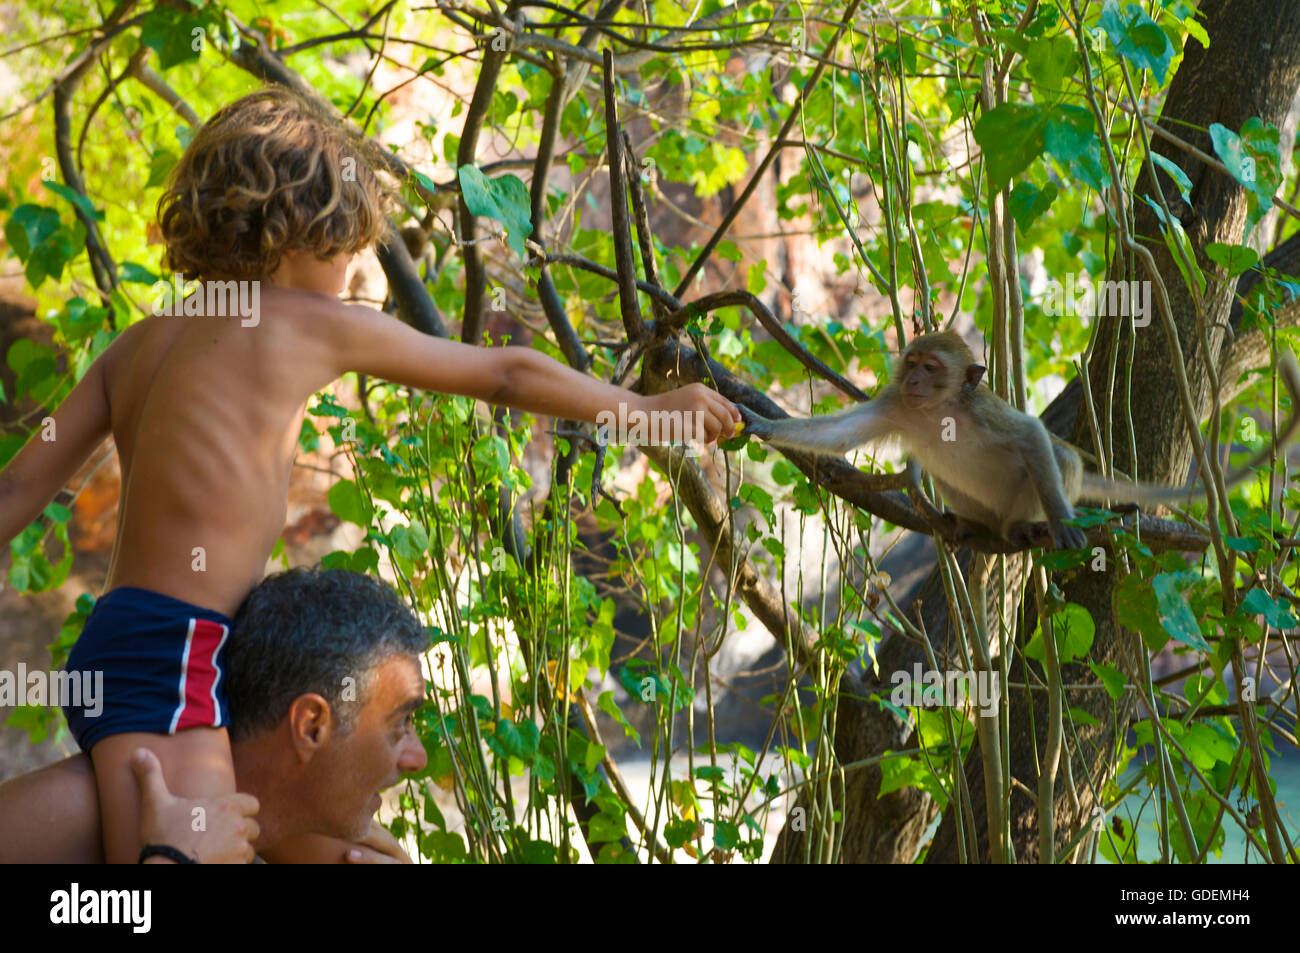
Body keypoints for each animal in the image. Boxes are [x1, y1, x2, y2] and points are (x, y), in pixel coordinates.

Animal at [738, 331, 1300, 551]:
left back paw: (1023, 527)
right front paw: (758, 424)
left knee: (1062, 459)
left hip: (1018, 501)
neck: (938, 410)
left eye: (931, 367)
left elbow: (1032, 434)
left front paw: (1063, 522)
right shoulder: (897, 405)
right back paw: (969, 524)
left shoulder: (982, 411)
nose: (914, 377)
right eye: (912, 363)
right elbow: (839, 436)